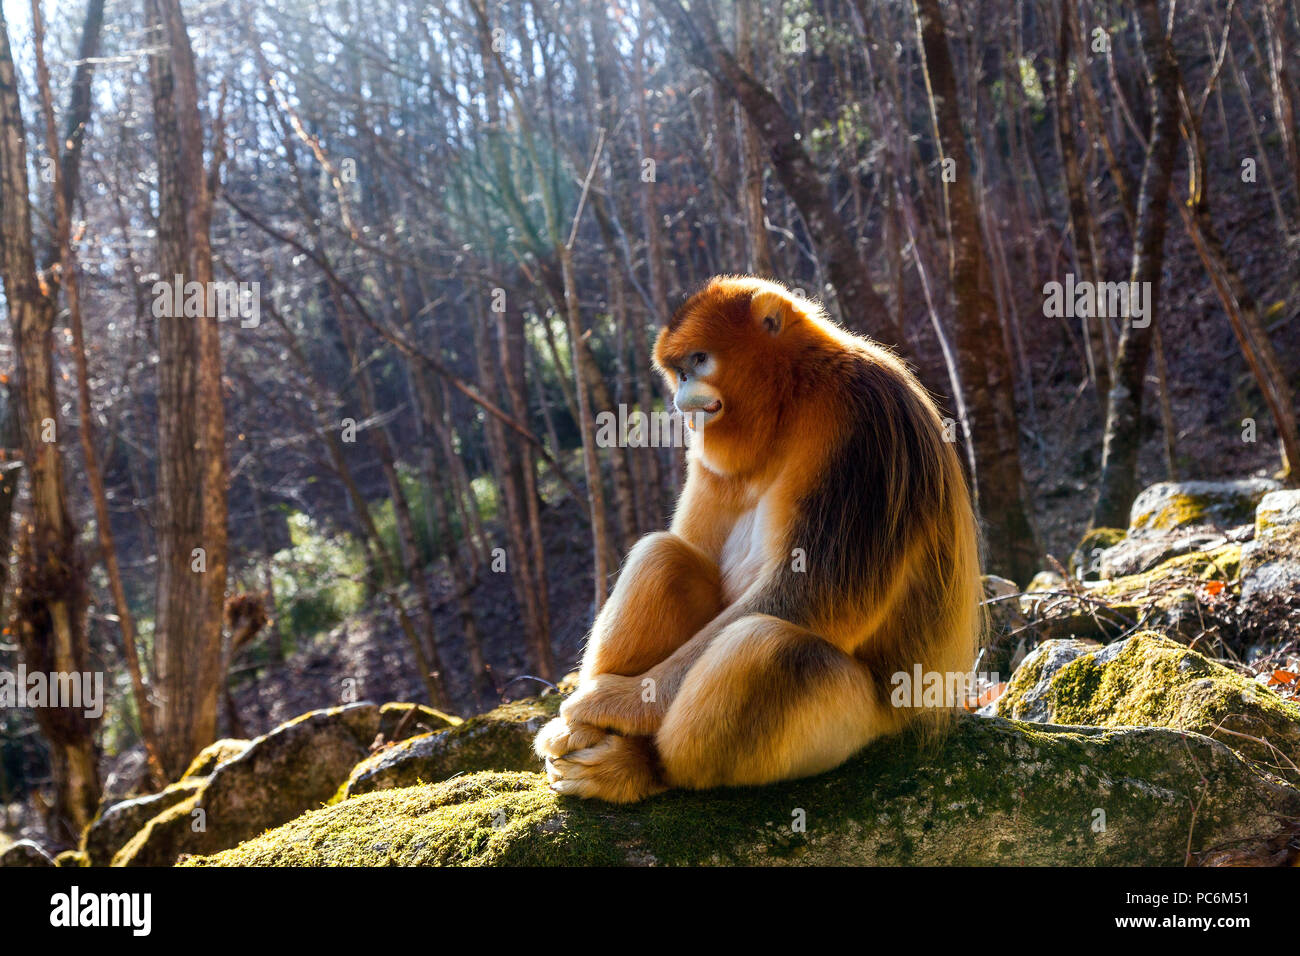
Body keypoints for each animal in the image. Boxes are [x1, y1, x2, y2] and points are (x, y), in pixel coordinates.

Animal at [535, 276, 982, 803]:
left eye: (699, 361)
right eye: (678, 371)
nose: (681, 396)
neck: (795, 397)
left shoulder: (865, 418)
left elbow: (820, 593)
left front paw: (614, 701)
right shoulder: (708, 450)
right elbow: (699, 552)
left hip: (867, 724)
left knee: (772, 647)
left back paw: (641, 768)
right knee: (663, 555)